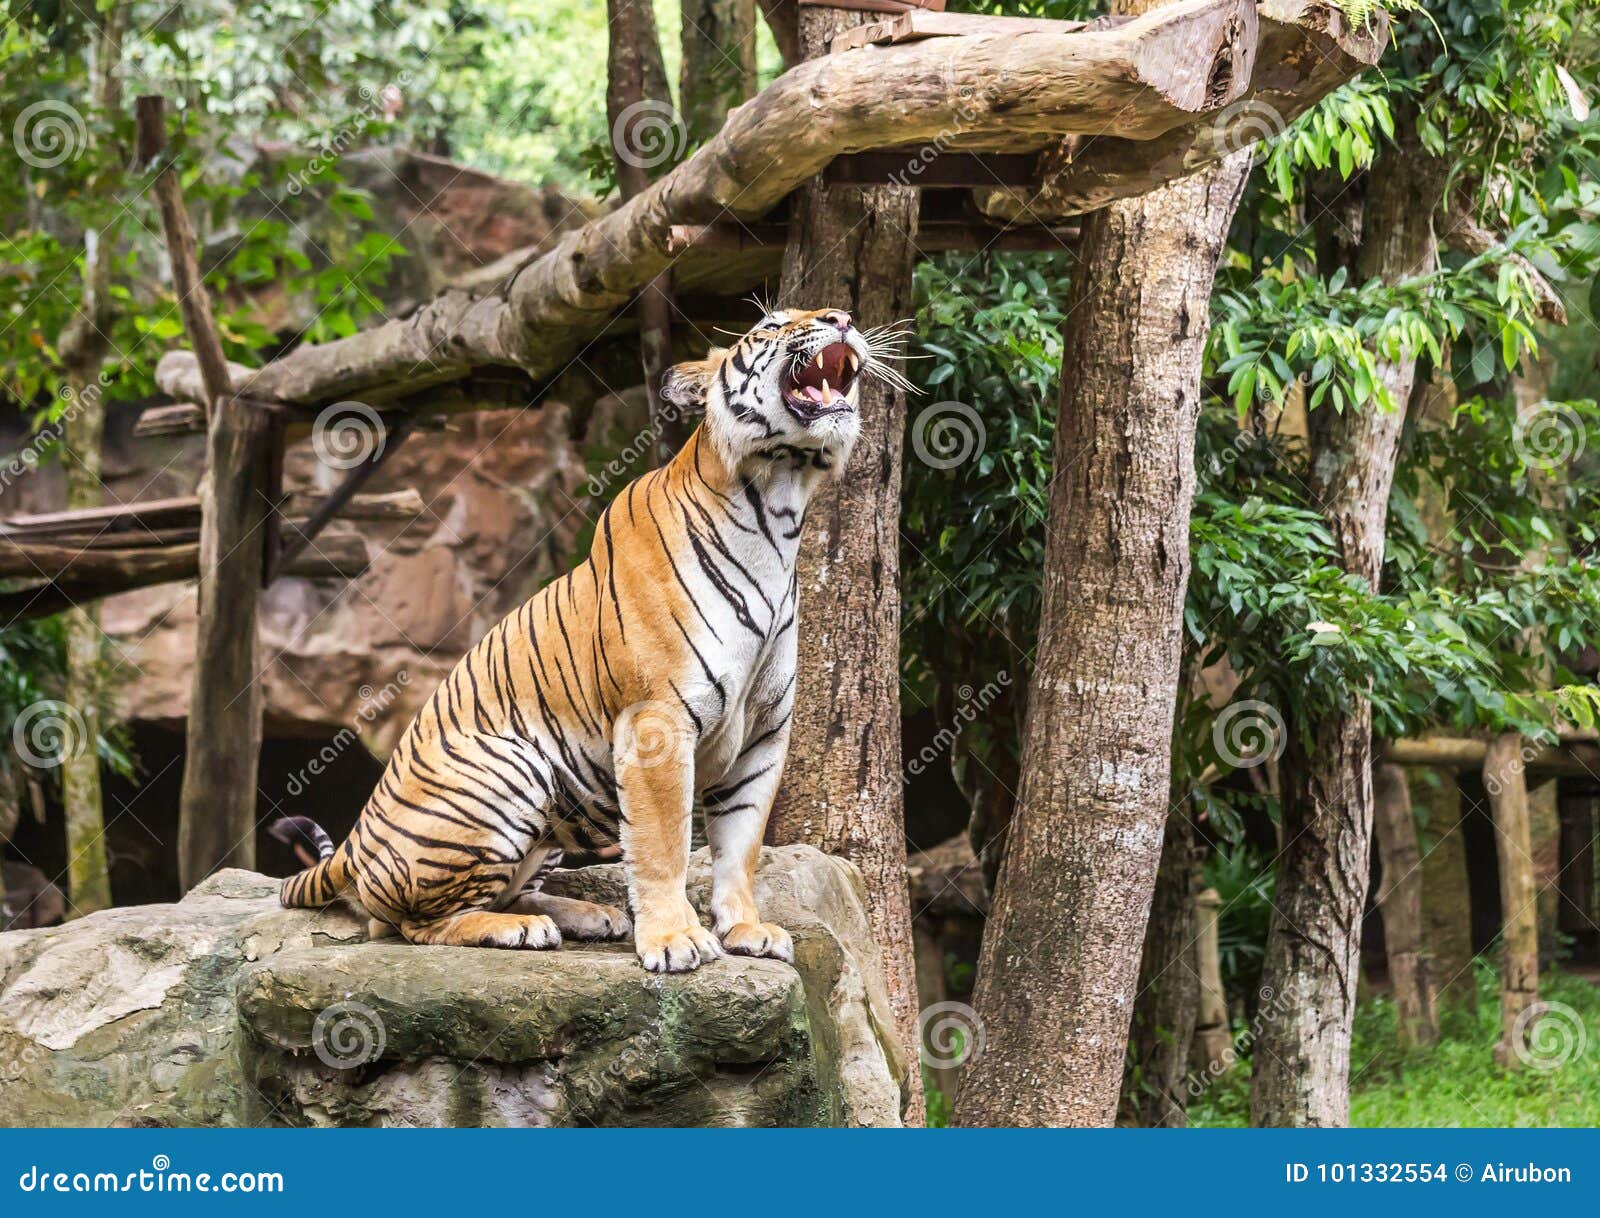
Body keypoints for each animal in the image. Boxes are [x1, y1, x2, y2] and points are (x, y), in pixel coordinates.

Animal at [276, 306, 906, 973]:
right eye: (770, 325)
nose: (842, 318)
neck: (779, 509)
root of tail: (356, 841)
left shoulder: (762, 736)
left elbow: (742, 847)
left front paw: (747, 929)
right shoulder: (657, 723)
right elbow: (664, 846)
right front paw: (675, 940)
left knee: (509, 889)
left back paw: (586, 915)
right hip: (510, 768)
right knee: (410, 924)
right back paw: (518, 929)